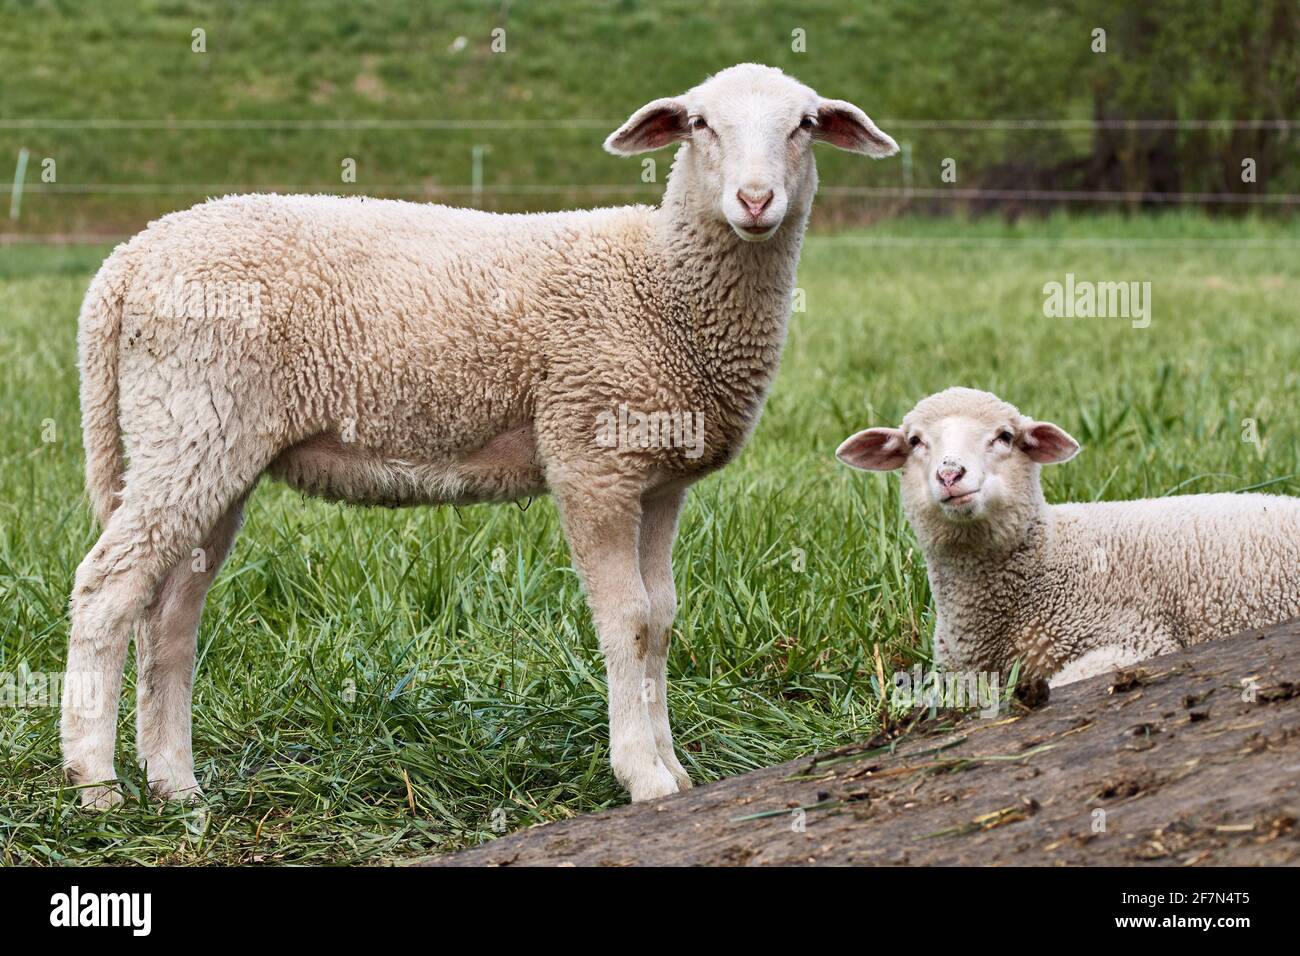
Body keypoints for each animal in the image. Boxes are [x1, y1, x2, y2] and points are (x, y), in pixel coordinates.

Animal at [62, 63, 899, 808]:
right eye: (699, 124)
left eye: (804, 125)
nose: (755, 200)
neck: (664, 282)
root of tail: (129, 260)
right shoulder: (590, 457)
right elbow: (625, 621)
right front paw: (643, 777)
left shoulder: (659, 479)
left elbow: (660, 621)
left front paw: (673, 765)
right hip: (190, 421)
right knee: (106, 590)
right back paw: (96, 784)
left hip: (217, 450)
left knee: (169, 617)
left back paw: (175, 784)